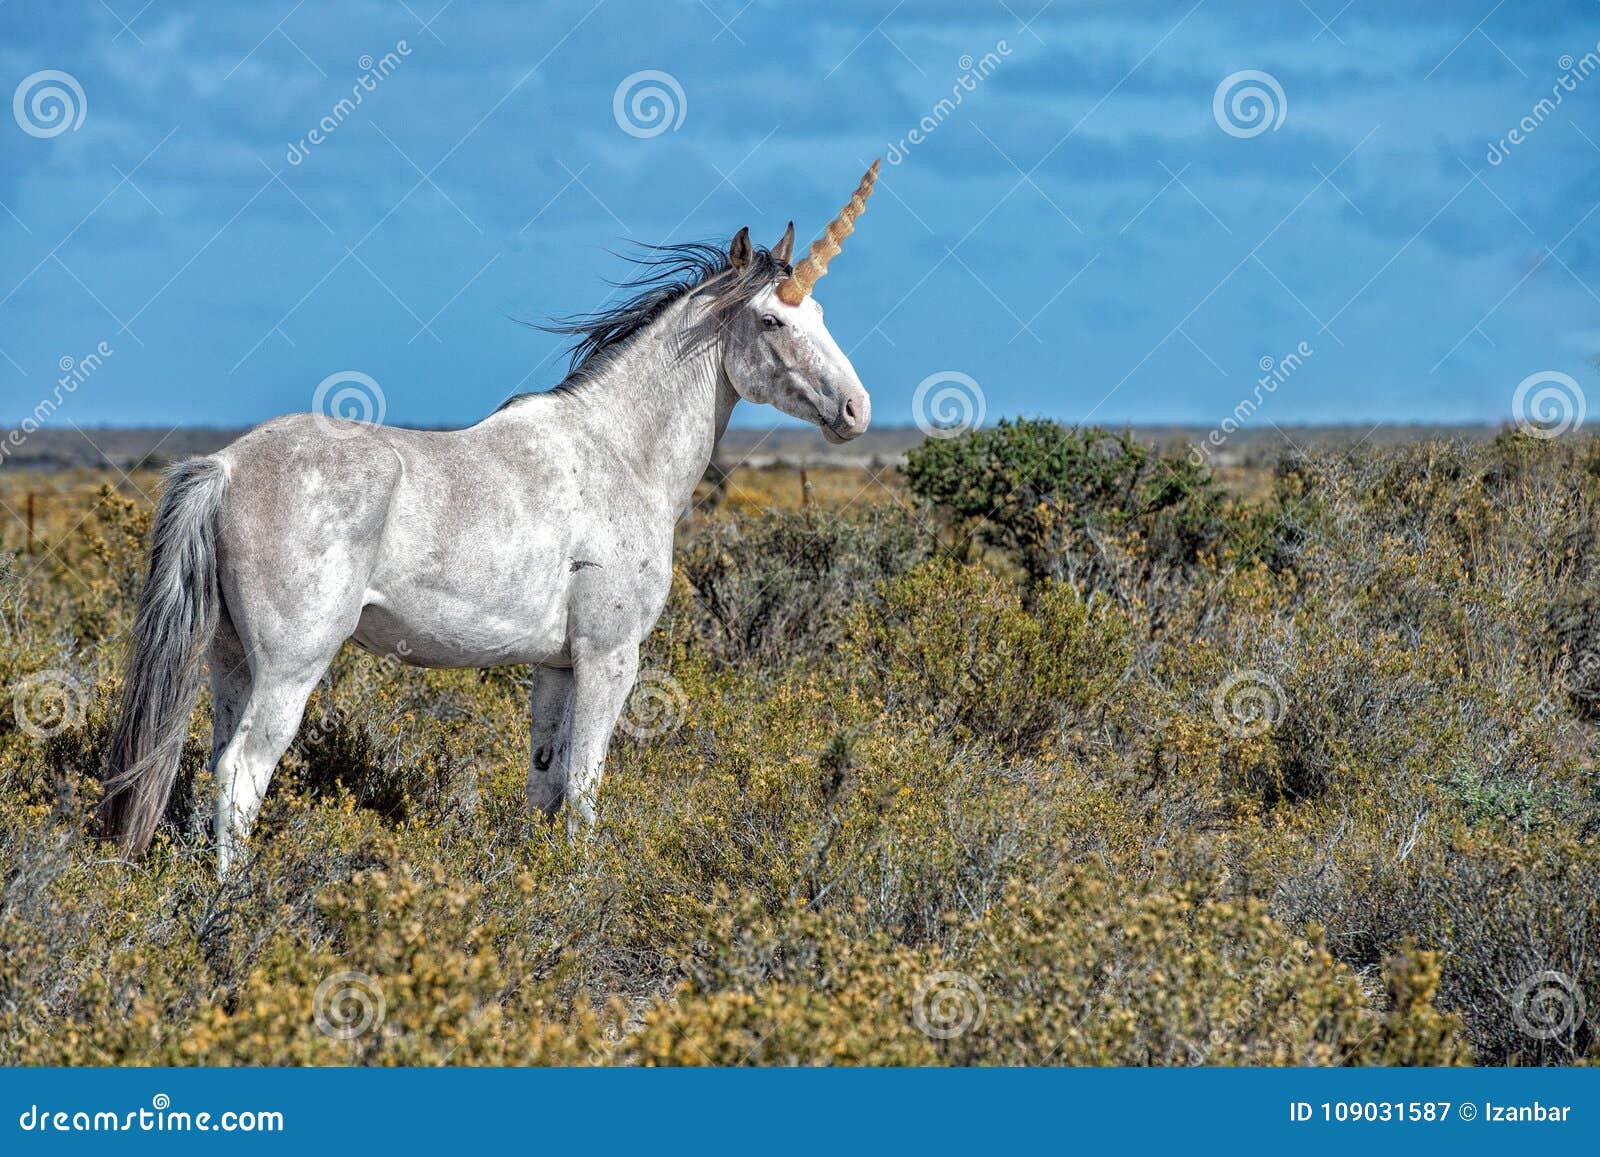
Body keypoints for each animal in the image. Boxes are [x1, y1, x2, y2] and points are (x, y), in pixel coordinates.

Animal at [99, 161, 880, 873]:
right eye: (773, 319)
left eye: (820, 316)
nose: (856, 410)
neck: (617, 449)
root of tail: (225, 466)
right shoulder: (609, 658)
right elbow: (585, 788)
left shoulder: (556, 666)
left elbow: (545, 784)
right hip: (291, 667)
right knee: (242, 773)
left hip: (230, 661)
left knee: (214, 762)